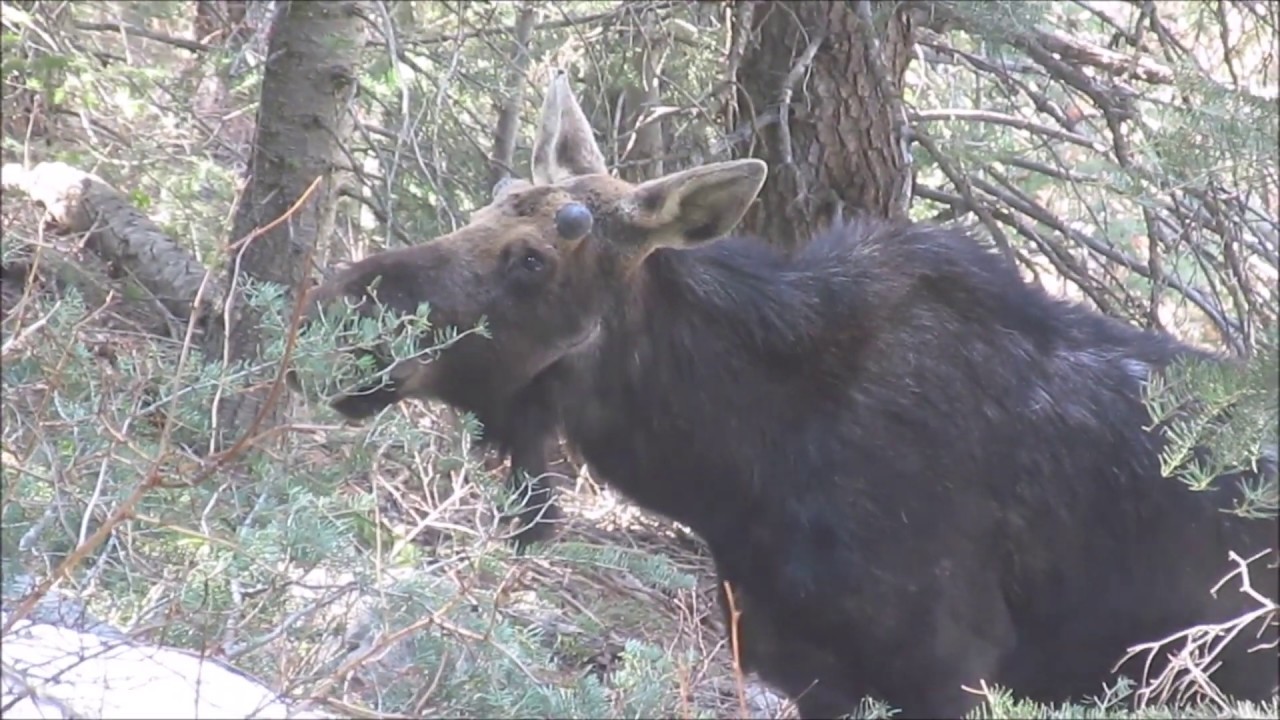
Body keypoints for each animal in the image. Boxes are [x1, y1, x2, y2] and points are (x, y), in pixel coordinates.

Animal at [288, 71, 1279, 718]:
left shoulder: (949, 665)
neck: (730, 474)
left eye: (532, 258)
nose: (330, 313)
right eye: (484, 207)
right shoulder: (798, 665)